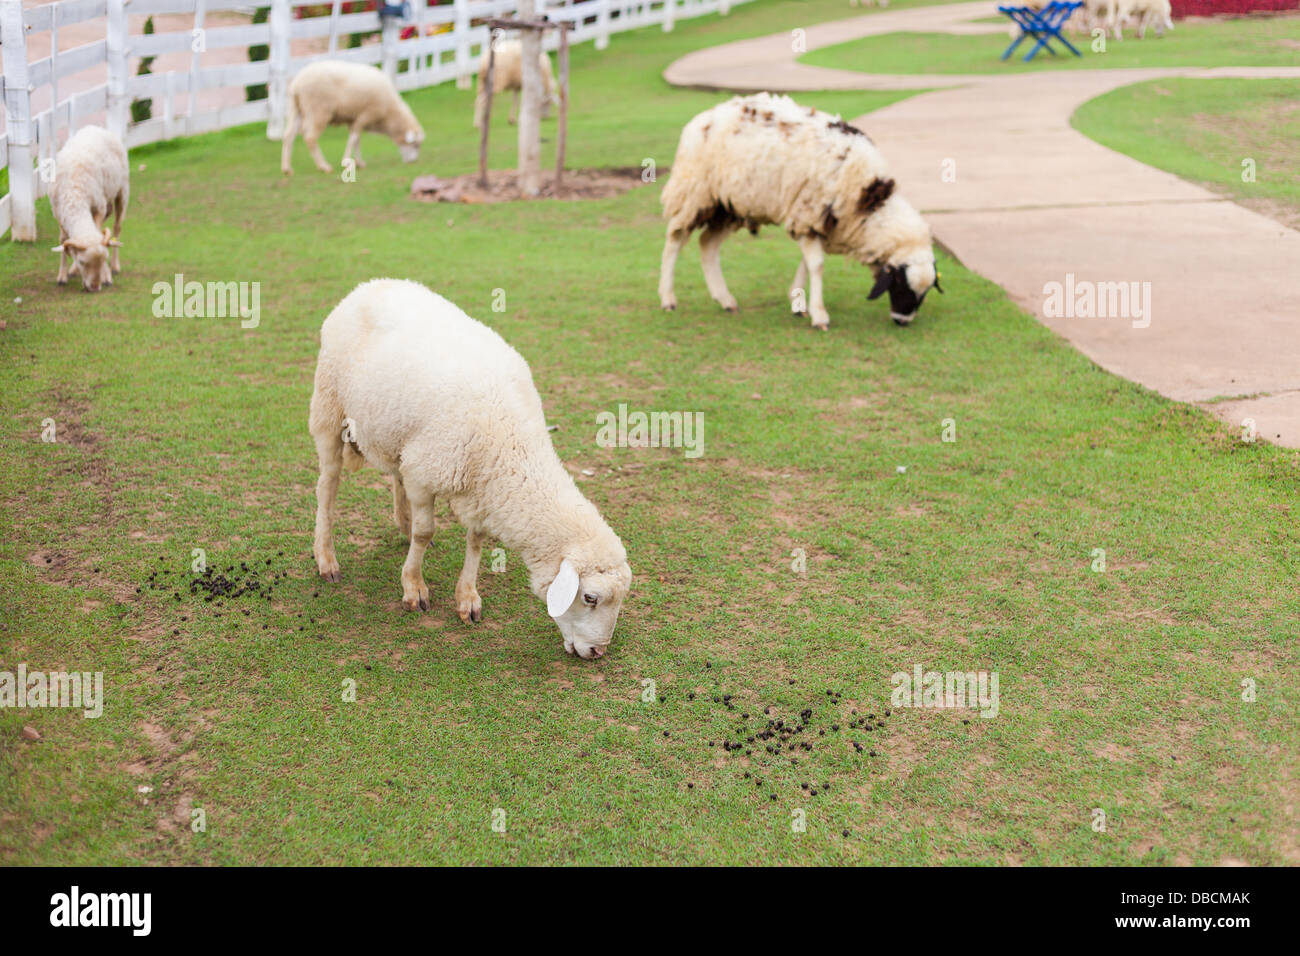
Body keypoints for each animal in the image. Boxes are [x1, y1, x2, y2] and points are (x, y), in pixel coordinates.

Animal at [49, 125, 128, 293]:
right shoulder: (58, 214)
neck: (75, 194)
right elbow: (64, 241)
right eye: (81, 261)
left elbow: (100, 235)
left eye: (104, 258)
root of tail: (95, 127)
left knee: (117, 227)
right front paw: (62, 276)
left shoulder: (99, 208)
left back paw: (115, 266)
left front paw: (106, 275)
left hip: (122, 190)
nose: (95, 287)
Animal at [280, 60, 425, 175]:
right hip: (318, 111)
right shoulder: (366, 115)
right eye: (415, 145)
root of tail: (297, 83)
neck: (389, 113)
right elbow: (354, 139)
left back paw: (287, 169)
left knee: (288, 136)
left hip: (296, 110)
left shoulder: (353, 119)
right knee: (310, 138)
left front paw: (359, 162)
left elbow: (357, 140)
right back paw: (324, 166)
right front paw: (347, 162)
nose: (414, 162)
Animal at [309, 279, 632, 659]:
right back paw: (327, 559)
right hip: (329, 406)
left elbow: (475, 541)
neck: (511, 442)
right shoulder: (427, 474)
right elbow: (426, 532)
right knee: (327, 486)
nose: (598, 652)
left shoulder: (479, 487)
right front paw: (414, 587)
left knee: (395, 475)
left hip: (395, 433)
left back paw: (402, 524)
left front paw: (467, 598)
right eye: (590, 597)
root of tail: (370, 284)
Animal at [658, 93, 941, 331]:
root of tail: (703, 117)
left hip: (728, 205)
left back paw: (725, 299)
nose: (902, 321)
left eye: (925, 293)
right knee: (674, 240)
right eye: (901, 284)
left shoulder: (818, 223)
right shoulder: (808, 215)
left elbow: (807, 263)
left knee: (707, 243)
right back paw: (668, 298)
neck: (868, 202)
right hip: (693, 193)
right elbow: (816, 265)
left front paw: (798, 302)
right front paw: (819, 315)